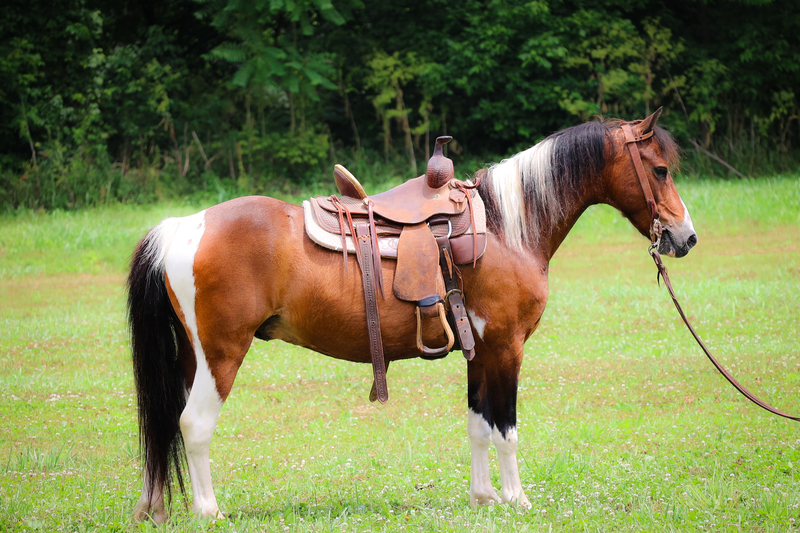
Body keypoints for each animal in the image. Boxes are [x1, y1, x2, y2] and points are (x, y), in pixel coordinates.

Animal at [127, 109, 697, 522]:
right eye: (660, 169)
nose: (685, 237)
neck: (506, 228)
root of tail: (181, 227)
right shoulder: (506, 348)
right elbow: (506, 428)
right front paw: (516, 500)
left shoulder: (480, 351)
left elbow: (478, 424)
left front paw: (484, 498)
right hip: (221, 354)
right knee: (194, 424)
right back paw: (208, 511)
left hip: (191, 358)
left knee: (168, 423)